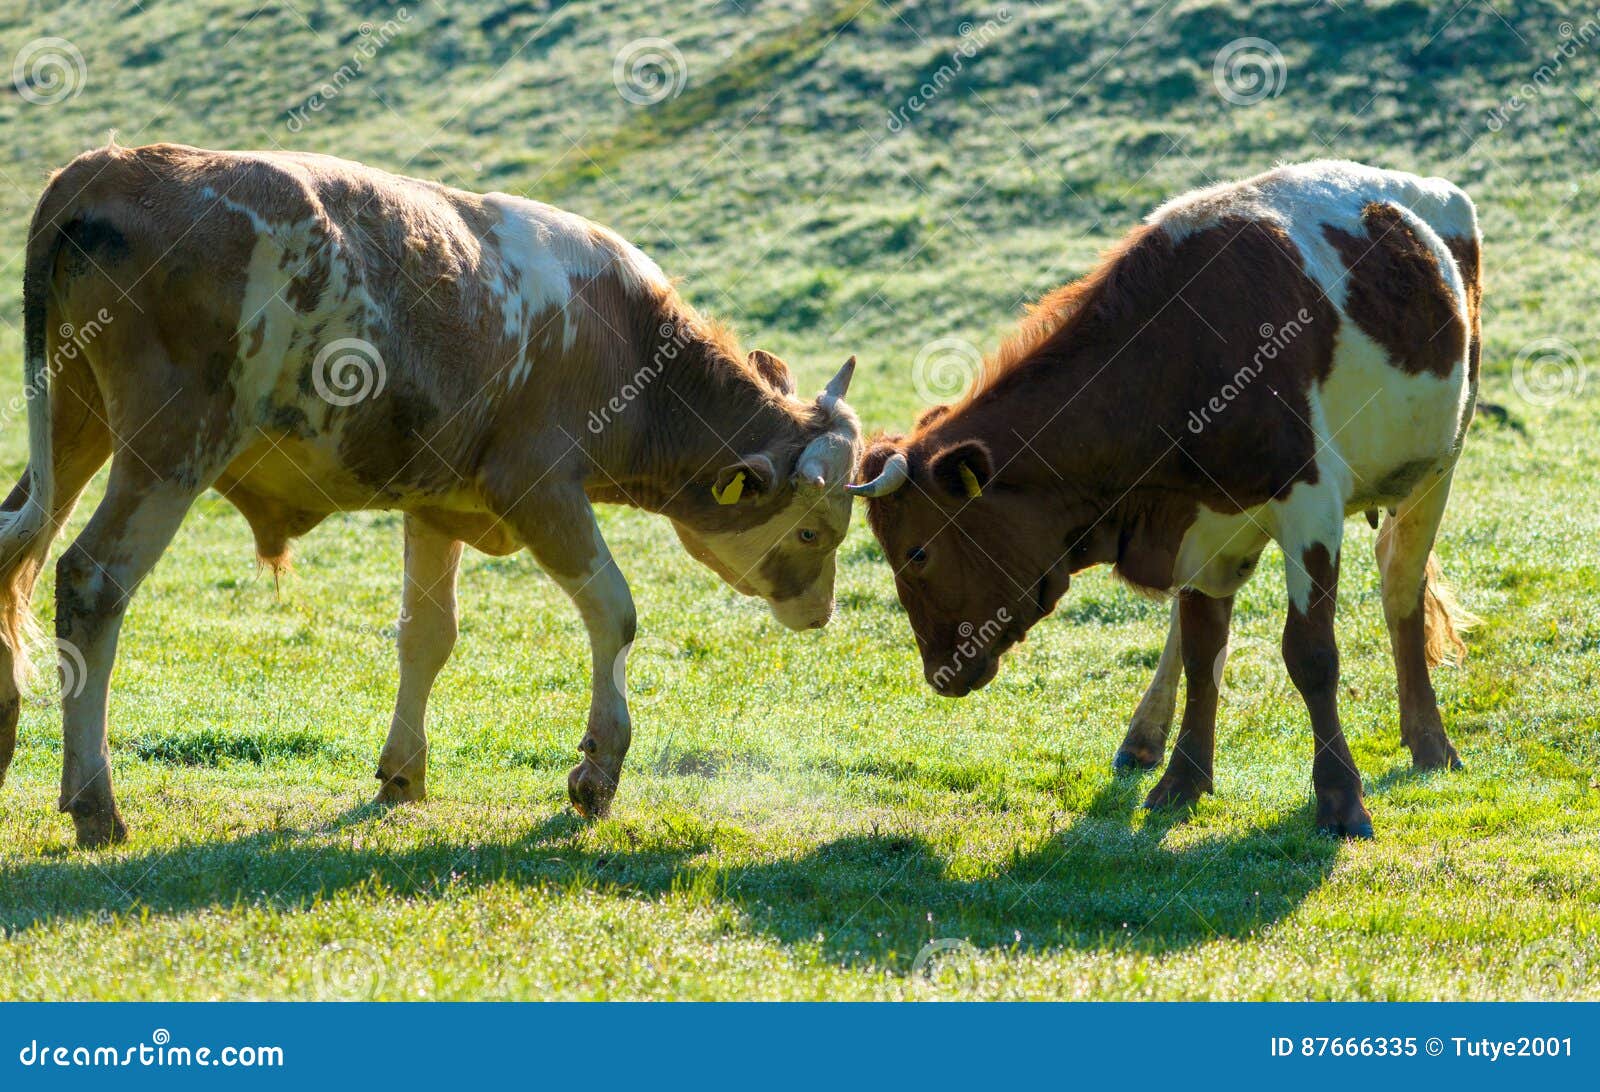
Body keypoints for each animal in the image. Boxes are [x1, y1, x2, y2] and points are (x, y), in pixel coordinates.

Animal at [0, 142, 863, 847]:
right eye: (814, 532)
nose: (820, 614)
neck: (623, 344)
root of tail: (108, 165)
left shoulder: (438, 503)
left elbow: (428, 636)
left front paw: (403, 774)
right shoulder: (538, 487)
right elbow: (615, 612)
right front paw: (598, 772)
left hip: (73, 427)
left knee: (17, 553)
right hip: (172, 448)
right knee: (92, 579)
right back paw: (96, 806)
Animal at [849, 160, 1481, 839]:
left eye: (917, 553)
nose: (938, 674)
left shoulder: (1311, 504)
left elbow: (1312, 654)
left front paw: (1340, 800)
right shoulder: (1198, 525)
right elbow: (1204, 649)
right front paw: (1182, 782)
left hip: (1439, 465)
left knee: (1401, 586)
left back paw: (1430, 742)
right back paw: (1145, 737)